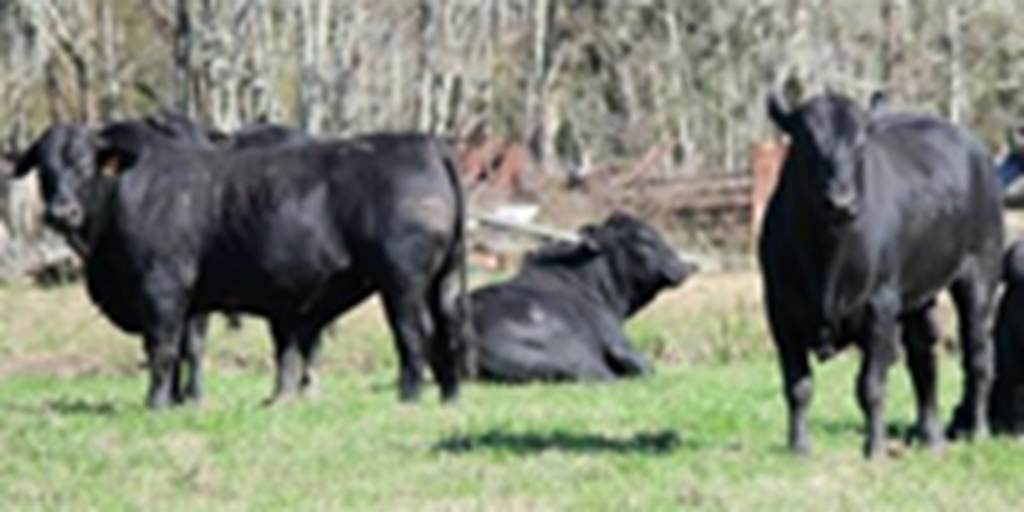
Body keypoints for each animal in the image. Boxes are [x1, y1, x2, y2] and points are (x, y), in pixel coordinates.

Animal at [12, 121, 469, 409]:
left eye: (84, 164)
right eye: (44, 170)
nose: (61, 212)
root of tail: (426, 143)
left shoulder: (162, 288)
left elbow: (162, 348)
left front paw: (155, 403)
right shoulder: (188, 303)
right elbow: (183, 350)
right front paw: (178, 401)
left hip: (403, 283)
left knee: (414, 334)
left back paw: (408, 397)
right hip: (440, 280)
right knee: (445, 329)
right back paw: (449, 397)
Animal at [760, 90, 1004, 458]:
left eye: (861, 143)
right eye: (806, 141)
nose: (841, 203)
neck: (826, 260)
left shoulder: (881, 305)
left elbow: (870, 385)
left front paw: (874, 449)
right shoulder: (780, 312)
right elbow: (798, 385)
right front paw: (799, 447)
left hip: (980, 276)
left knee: (977, 356)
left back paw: (978, 431)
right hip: (918, 300)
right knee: (923, 359)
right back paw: (929, 436)